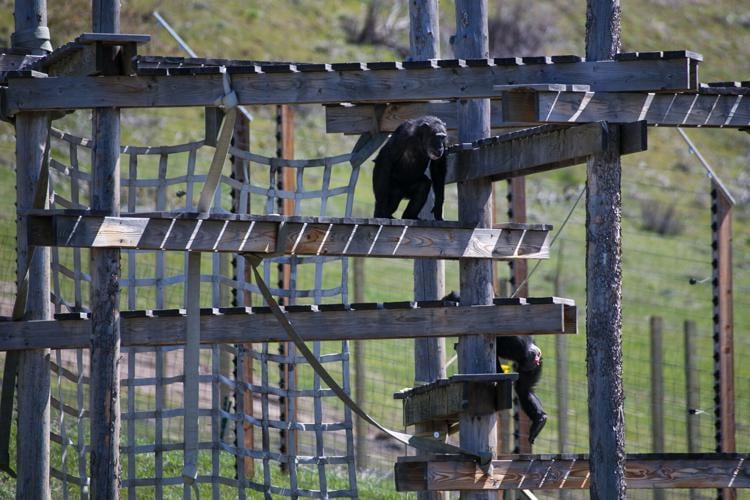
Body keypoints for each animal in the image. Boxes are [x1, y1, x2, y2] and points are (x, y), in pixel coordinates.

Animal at [443, 292, 548, 445]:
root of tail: (537, 353)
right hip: (532, 367)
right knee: (524, 390)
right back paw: (540, 419)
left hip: (530, 361)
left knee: (521, 388)